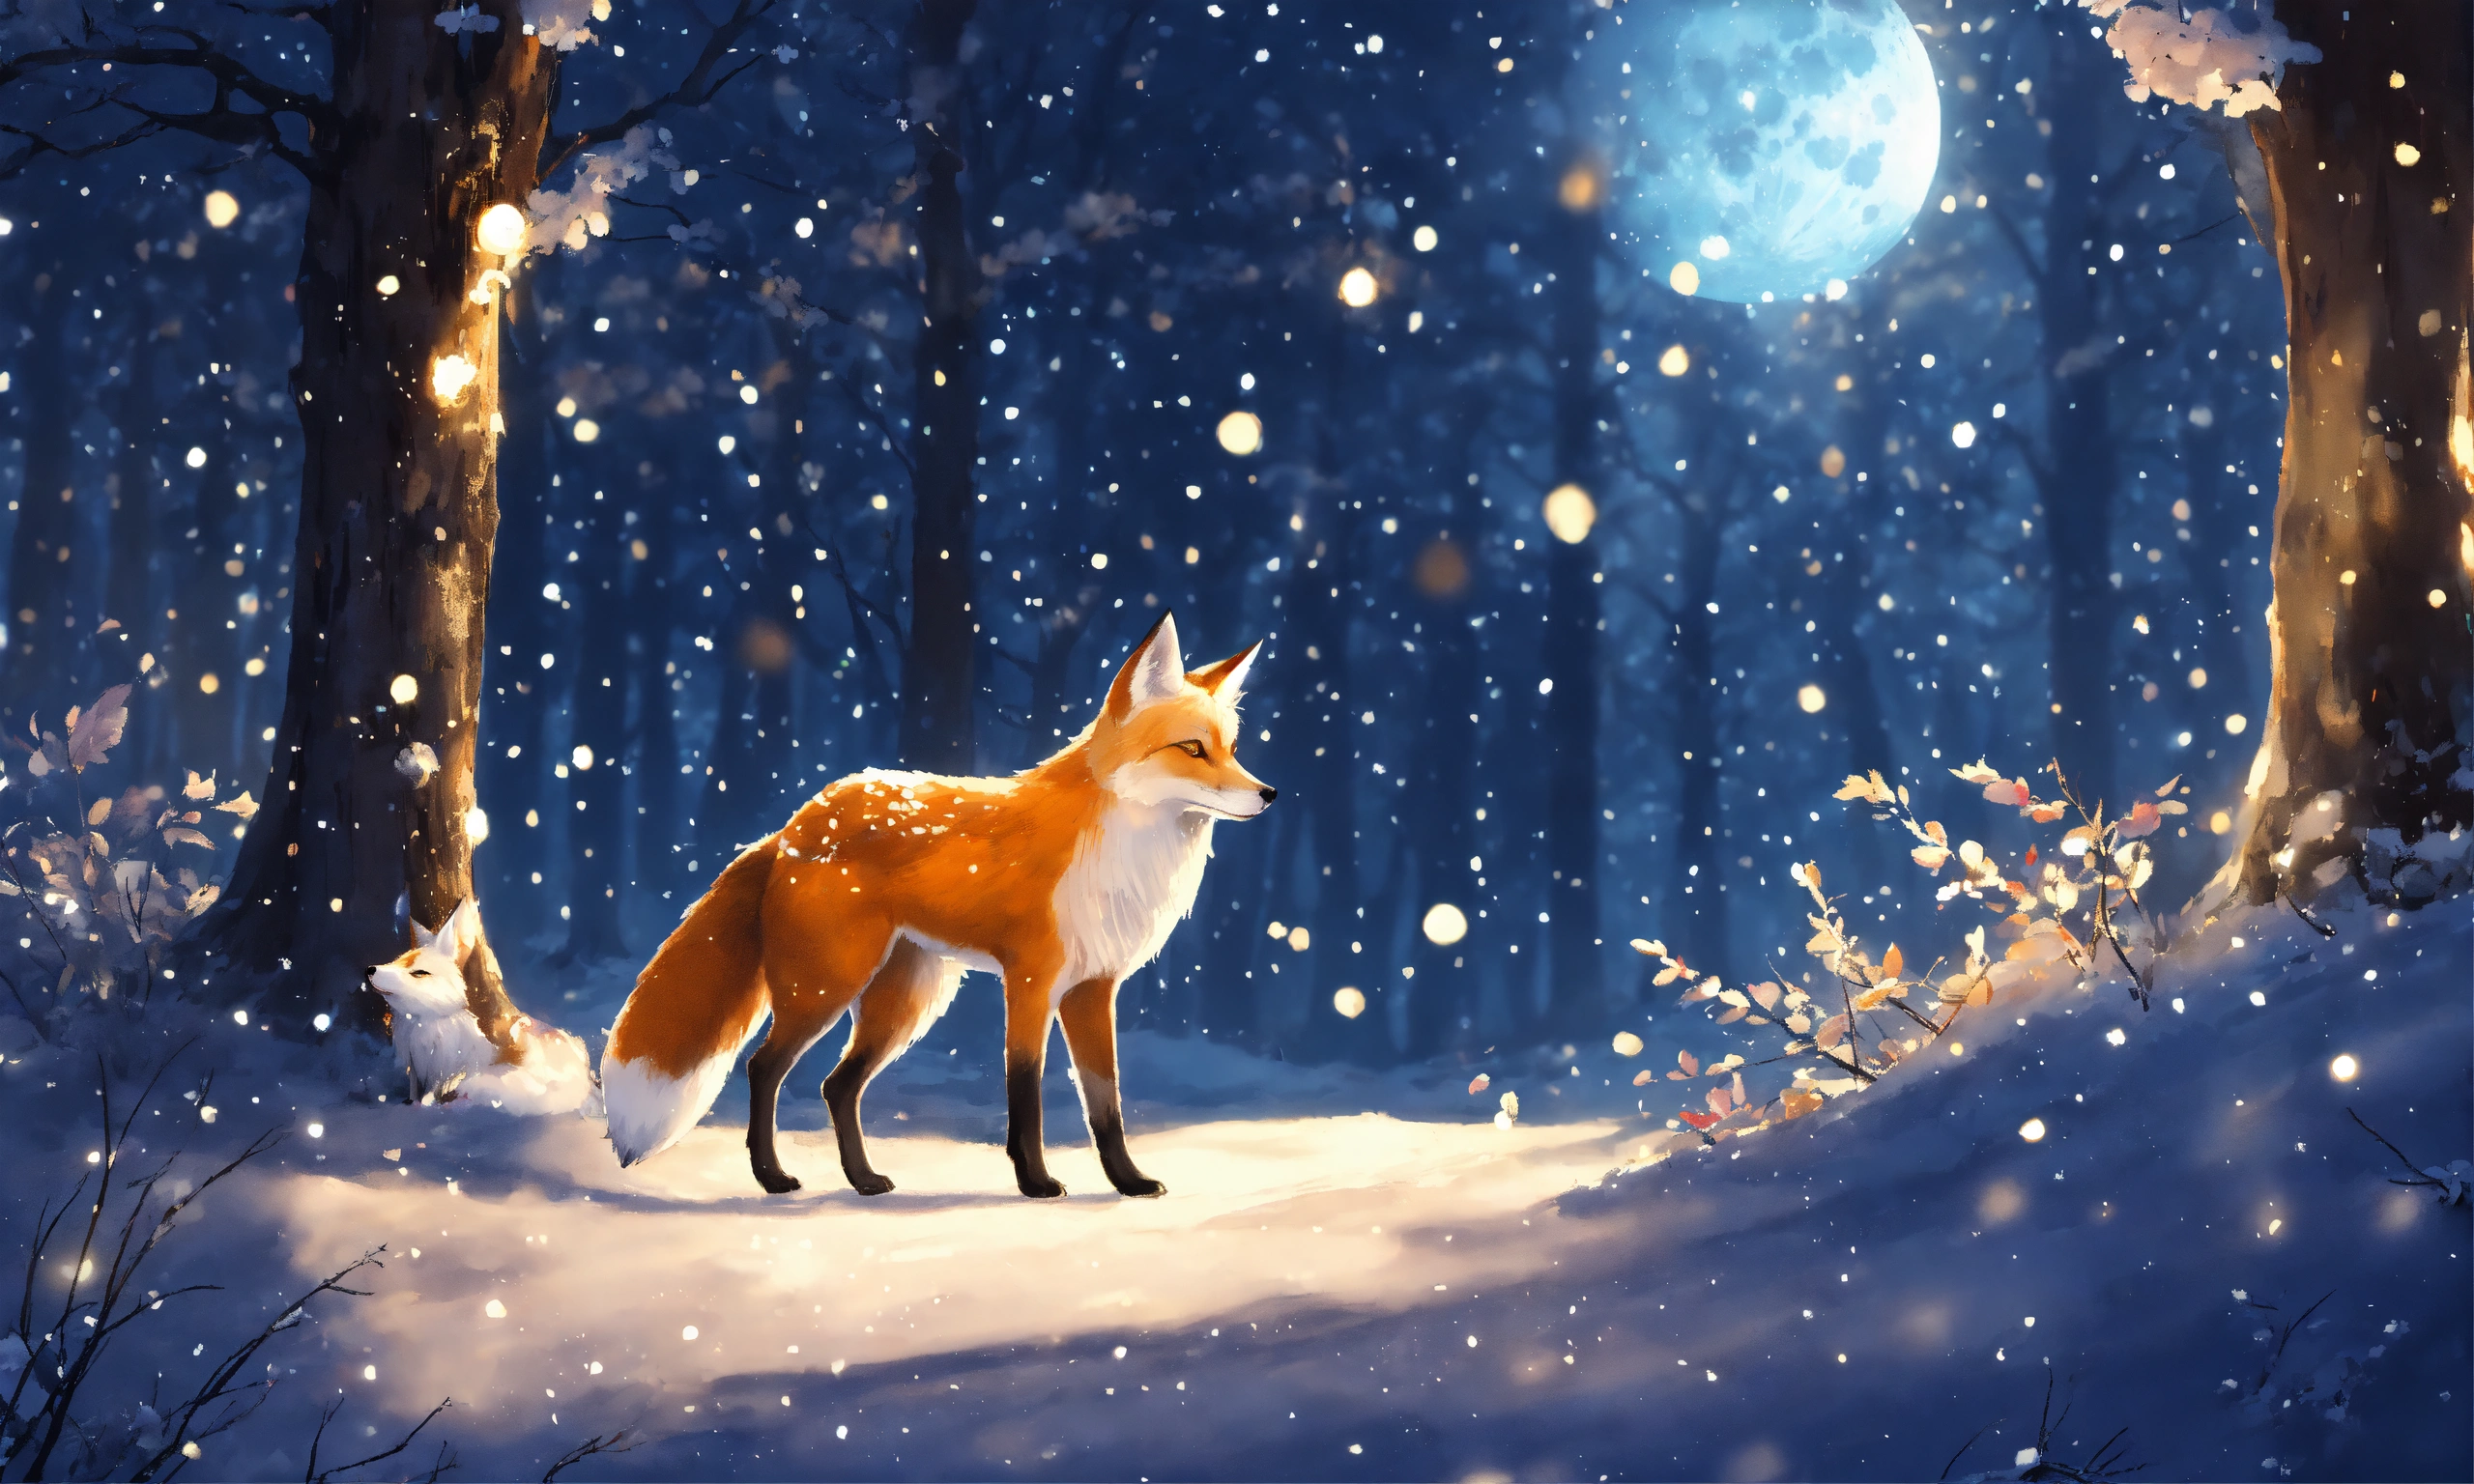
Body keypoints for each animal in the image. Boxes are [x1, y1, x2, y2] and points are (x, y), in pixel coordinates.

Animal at [365, 898, 599, 1117]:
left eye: (419, 972)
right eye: (399, 960)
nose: (370, 969)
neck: (425, 1024)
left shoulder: (452, 1069)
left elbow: (433, 1095)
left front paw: (425, 1107)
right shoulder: (419, 1063)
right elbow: (416, 1092)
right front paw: (412, 1104)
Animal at [599, 612, 1275, 1199]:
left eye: (1233, 748)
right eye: (1193, 749)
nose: (1269, 793)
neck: (1121, 846)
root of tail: (797, 822)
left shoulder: (1092, 989)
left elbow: (1105, 1105)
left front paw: (1128, 1183)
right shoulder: (1031, 982)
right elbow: (1025, 1091)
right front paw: (1035, 1182)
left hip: (904, 1003)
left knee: (836, 1086)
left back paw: (863, 1181)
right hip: (825, 986)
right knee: (763, 1069)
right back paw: (772, 1177)